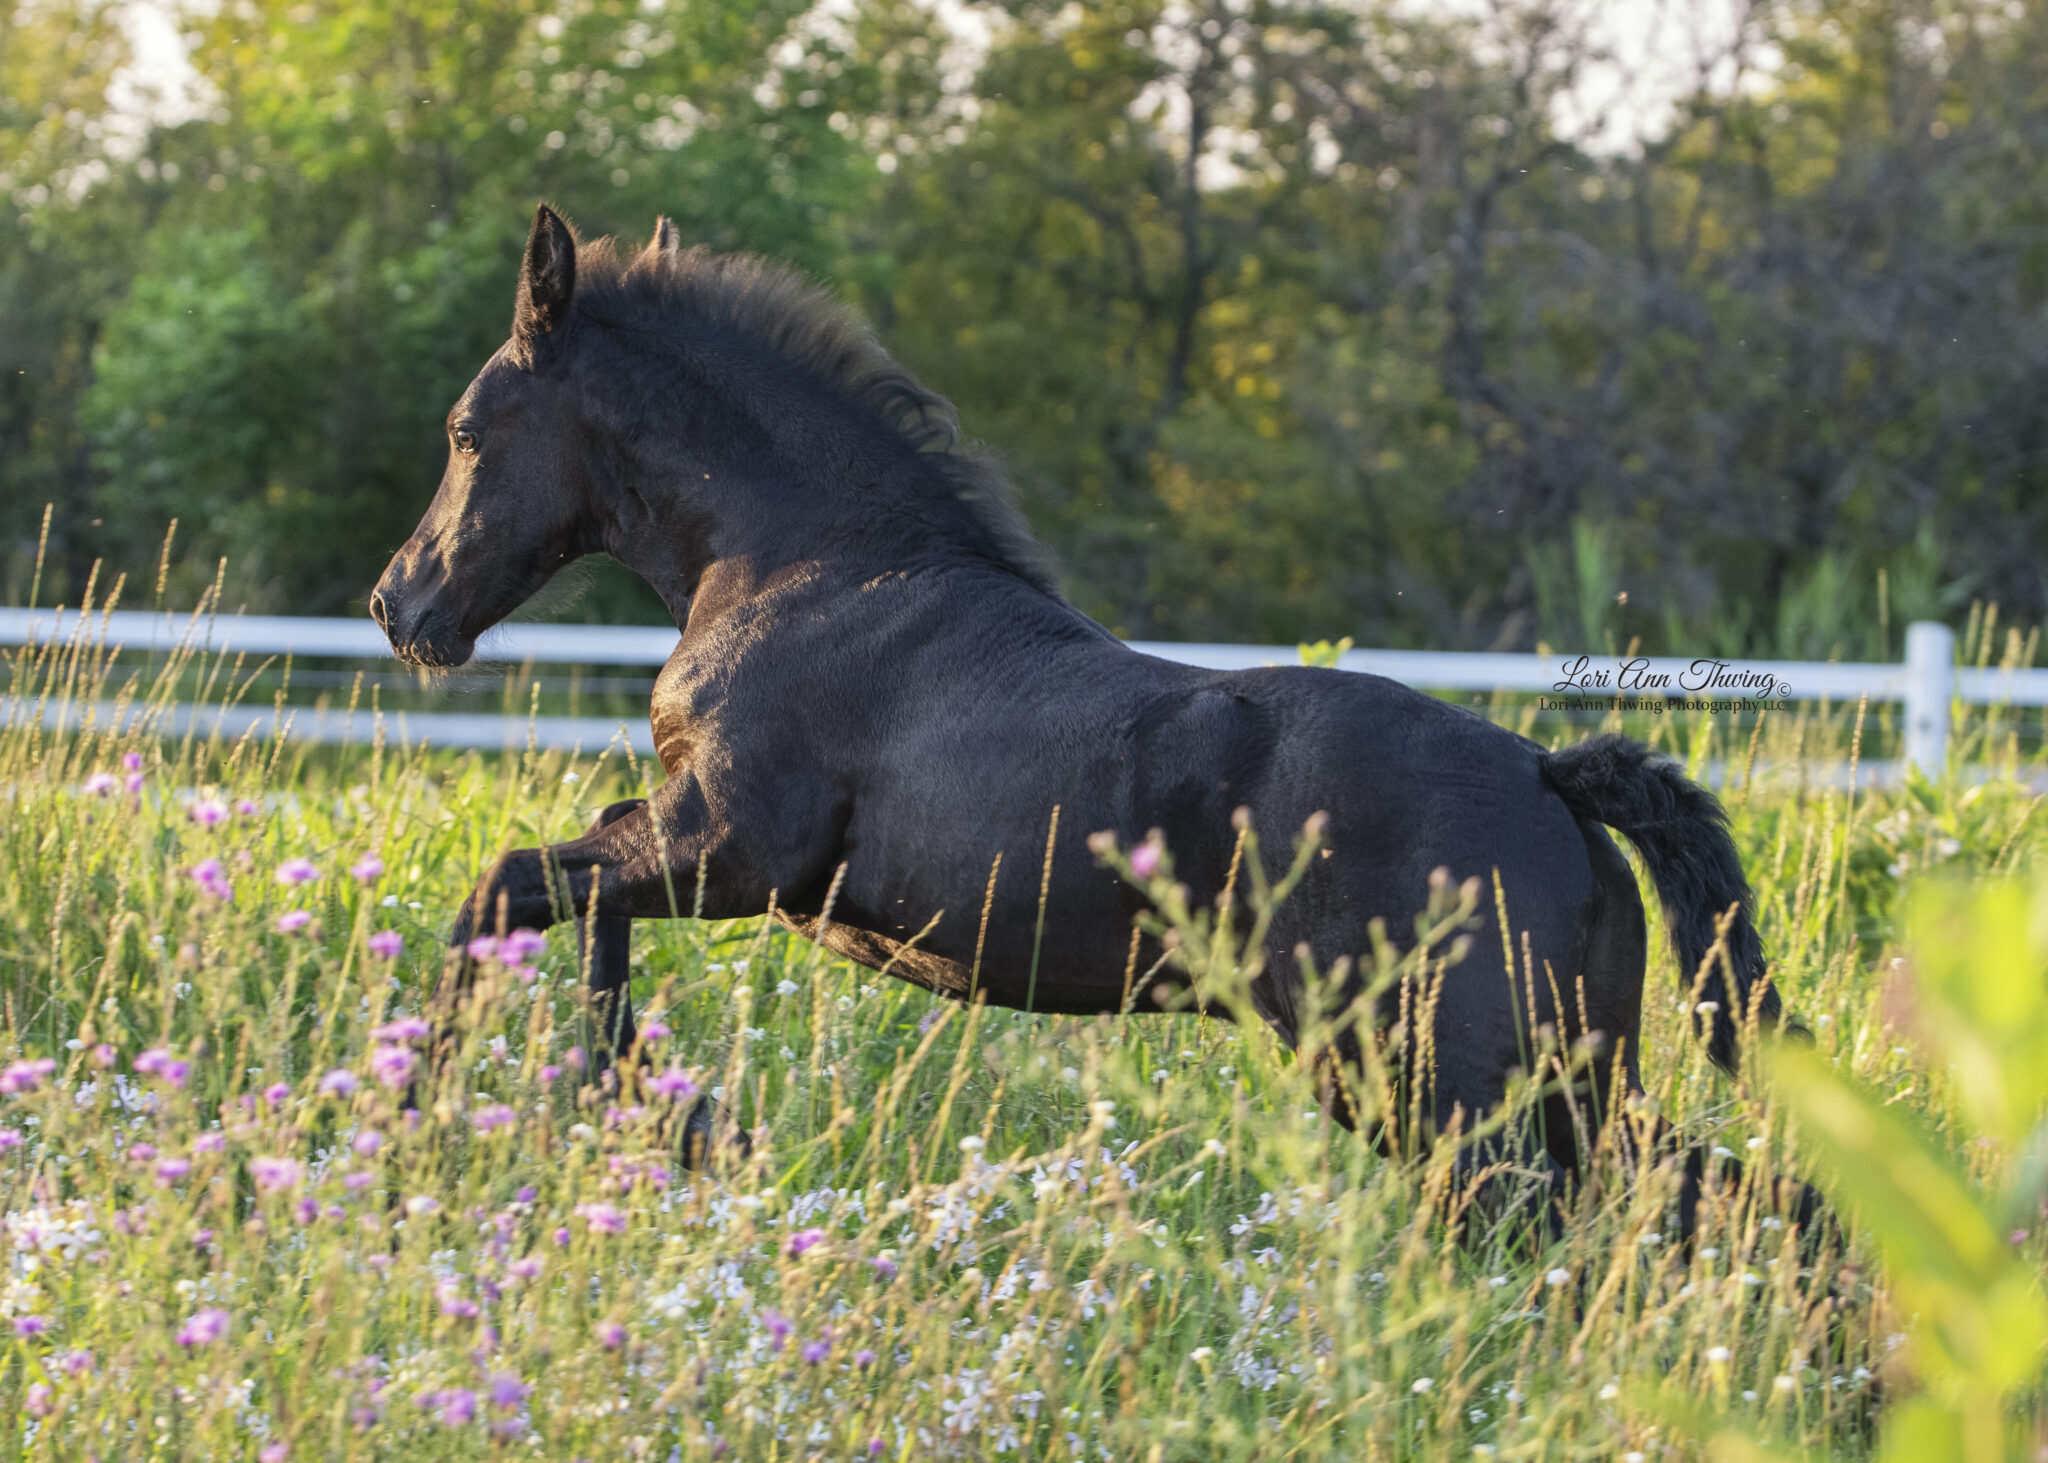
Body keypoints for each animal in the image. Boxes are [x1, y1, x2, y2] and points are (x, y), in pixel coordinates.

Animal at [370, 204, 1799, 1218]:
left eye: (463, 428)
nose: (400, 605)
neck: (806, 568)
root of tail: (1551, 778)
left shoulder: (733, 850)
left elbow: (505, 887)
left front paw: (430, 1115)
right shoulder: (692, 839)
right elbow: (578, 906)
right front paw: (662, 1110)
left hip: (1438, 1075)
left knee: (1584, 1217)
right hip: (1552, 1072)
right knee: (1717, 1202)